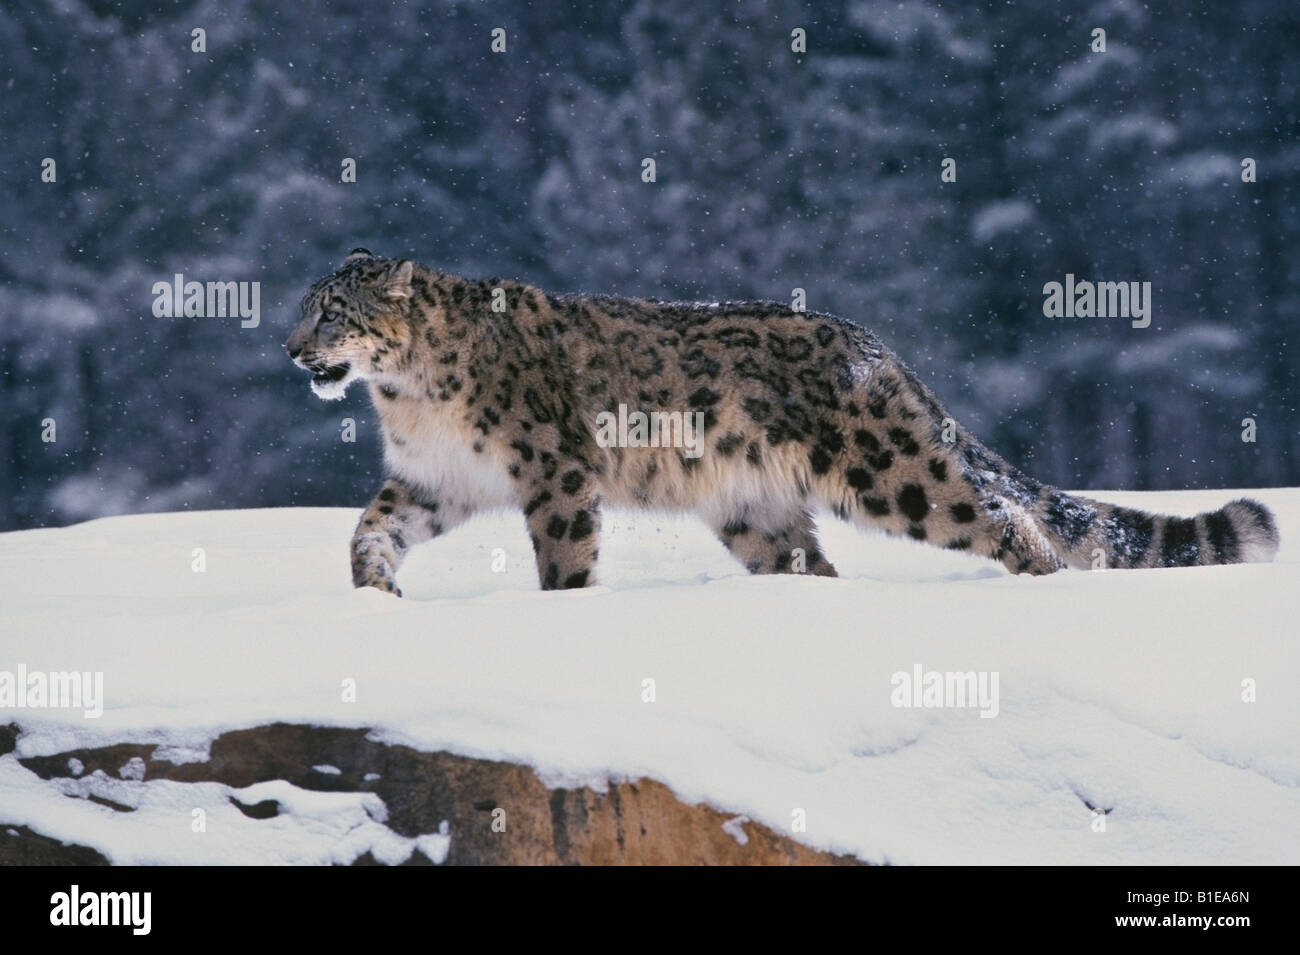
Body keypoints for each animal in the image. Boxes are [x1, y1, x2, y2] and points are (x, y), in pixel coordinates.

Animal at [285, 249, 1280, 596]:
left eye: (331, 311)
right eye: (304, 306)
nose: (293, 351)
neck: (404, 397)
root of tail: (876, 348)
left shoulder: (553, 469)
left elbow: (564, 555)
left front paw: (565, 610)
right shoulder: (431, 479)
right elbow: (371, 527)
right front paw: (374, 591)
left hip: (894, 472)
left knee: (1002, 515)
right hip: (753, 511)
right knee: (815, 562)